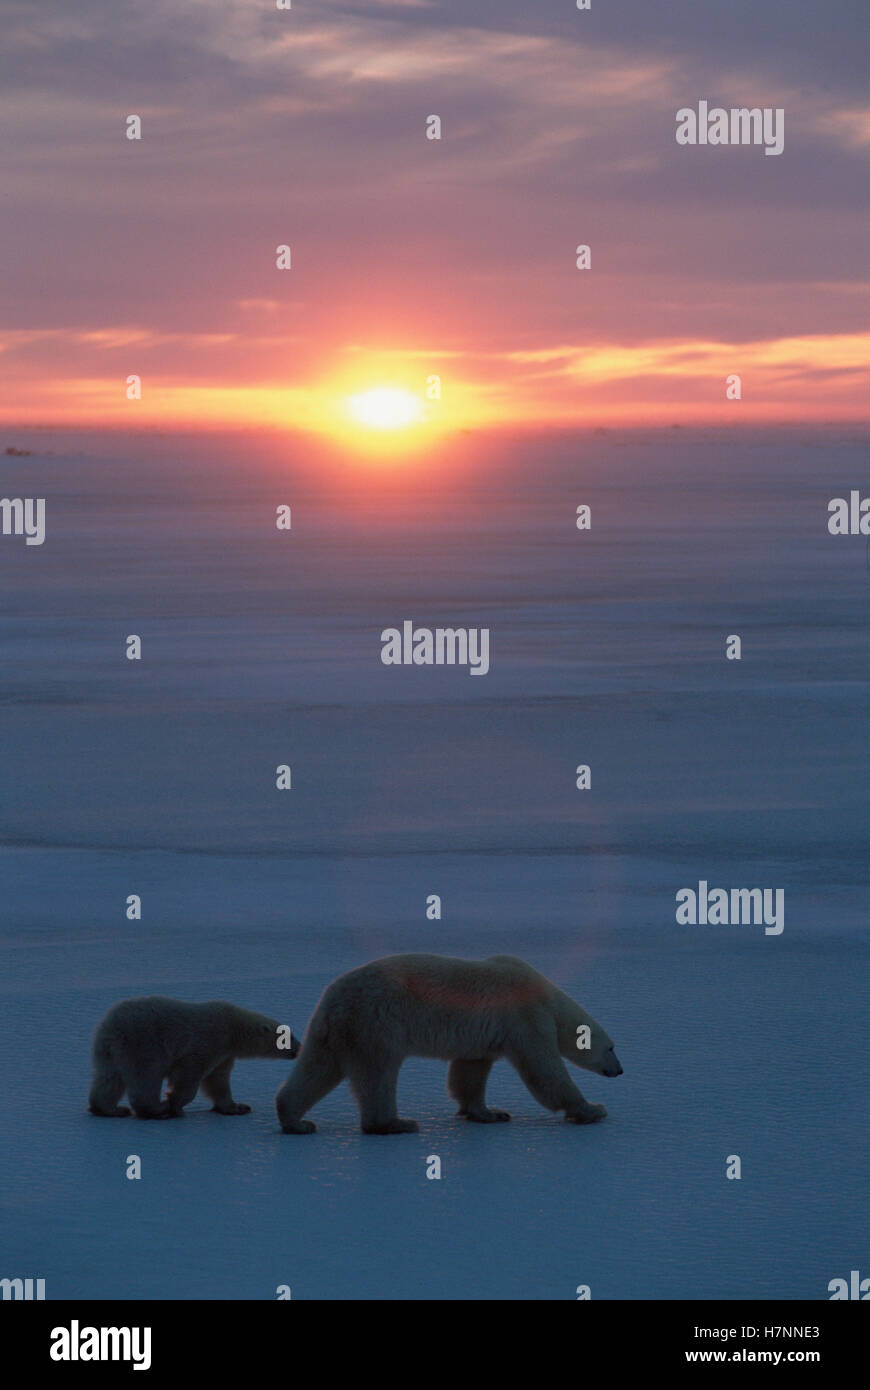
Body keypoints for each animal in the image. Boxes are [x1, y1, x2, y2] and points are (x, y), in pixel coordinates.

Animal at [88, 996, 300, 1119]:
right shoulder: (208, 1041)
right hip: (143, 1043)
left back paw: (109, 1109)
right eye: (287, 1037)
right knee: (146, 1075)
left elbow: (218, 1080)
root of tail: (112, 1026)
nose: (299, 1049)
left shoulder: (224, 1053)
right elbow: (190, 1074)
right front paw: (175, 1104)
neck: (233, 1027)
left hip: (108, 1049)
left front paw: (237, 1107)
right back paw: (157, 1109)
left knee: (108, 1078)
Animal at [275, 953, 622, 1134]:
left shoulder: (484, 1039)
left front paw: (490, 1113)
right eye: (611, 1048)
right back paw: (395, 1123)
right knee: (378, 1074)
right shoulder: (526, 1018)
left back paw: (296, 1120)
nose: (619, 1071)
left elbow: (469, 1073)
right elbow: (545, 1071)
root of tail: (332, 1000)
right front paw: (592, 1109)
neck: (547, 996)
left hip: (335, 1031)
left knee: (318, 1068)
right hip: (376, 1023)